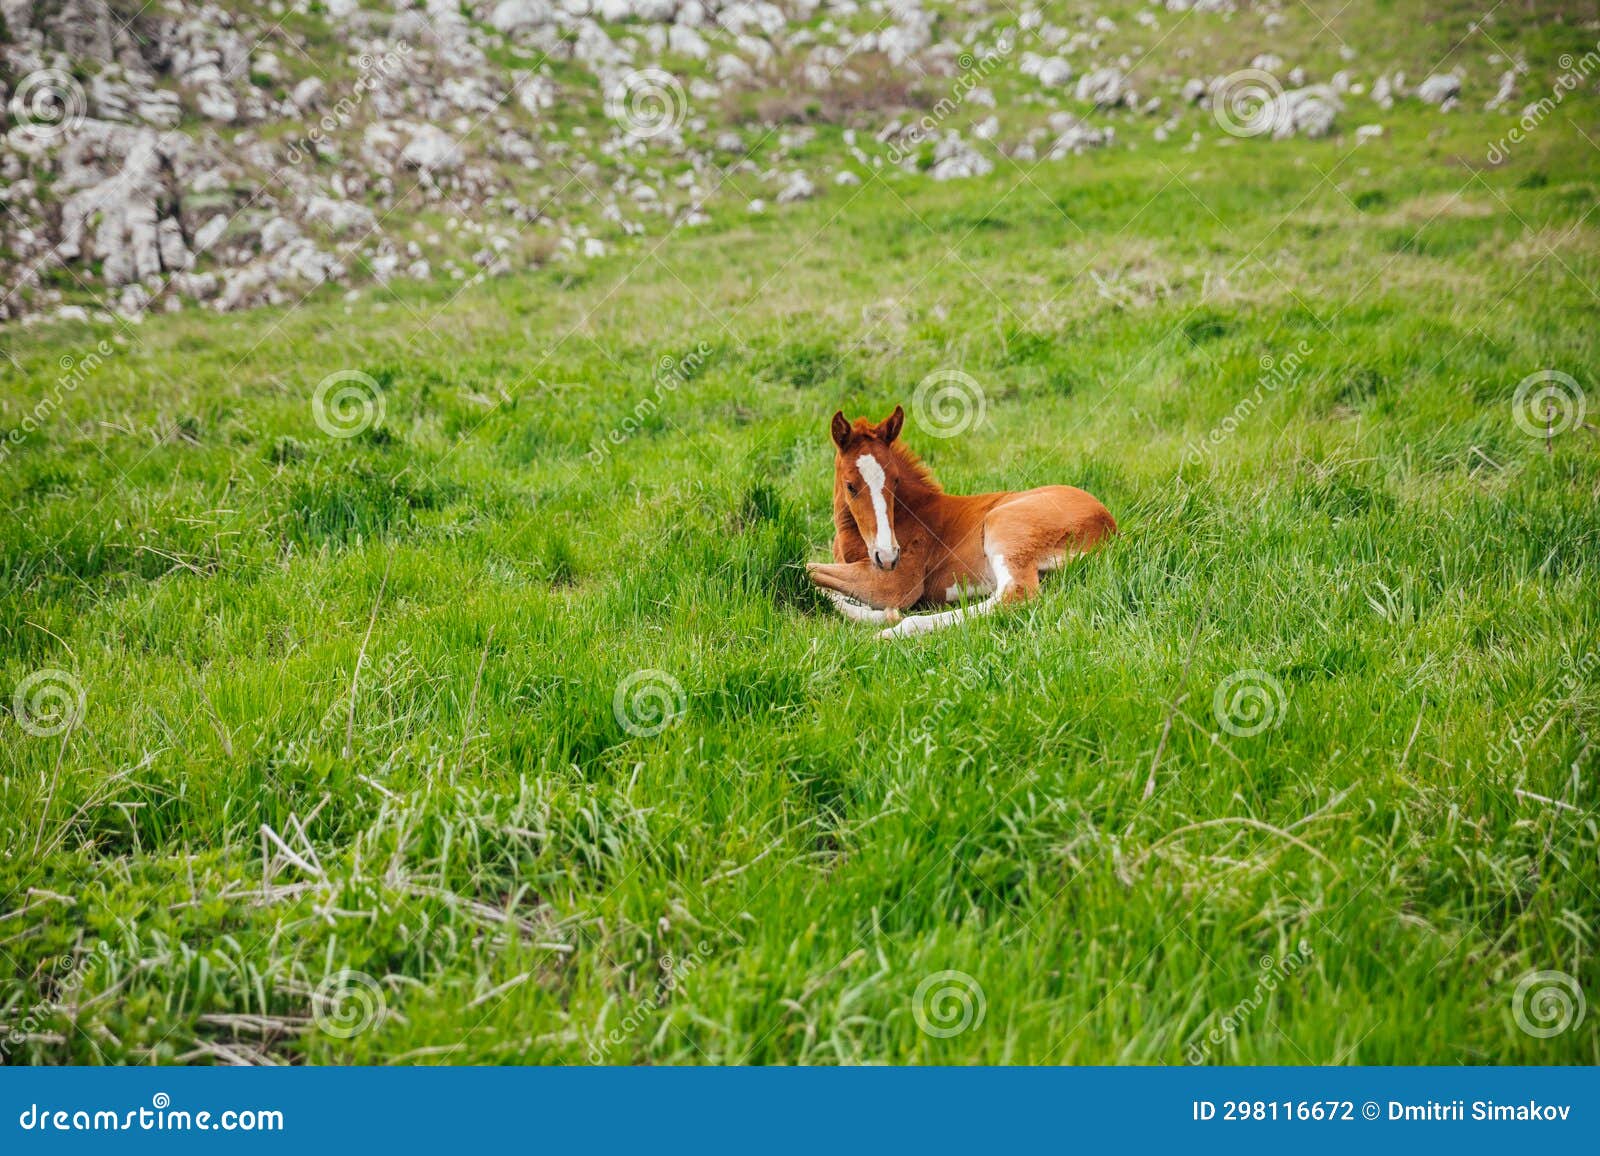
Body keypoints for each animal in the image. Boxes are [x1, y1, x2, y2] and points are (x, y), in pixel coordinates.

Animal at [805, 405, 1116, 639]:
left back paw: (894, 630)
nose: (888, 555)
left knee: (1015, 595)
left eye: (894, 480)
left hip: (1002, 525)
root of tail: (1107, 527)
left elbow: (809, 570)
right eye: (850, 486)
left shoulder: (897, 583)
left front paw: (883, 613)